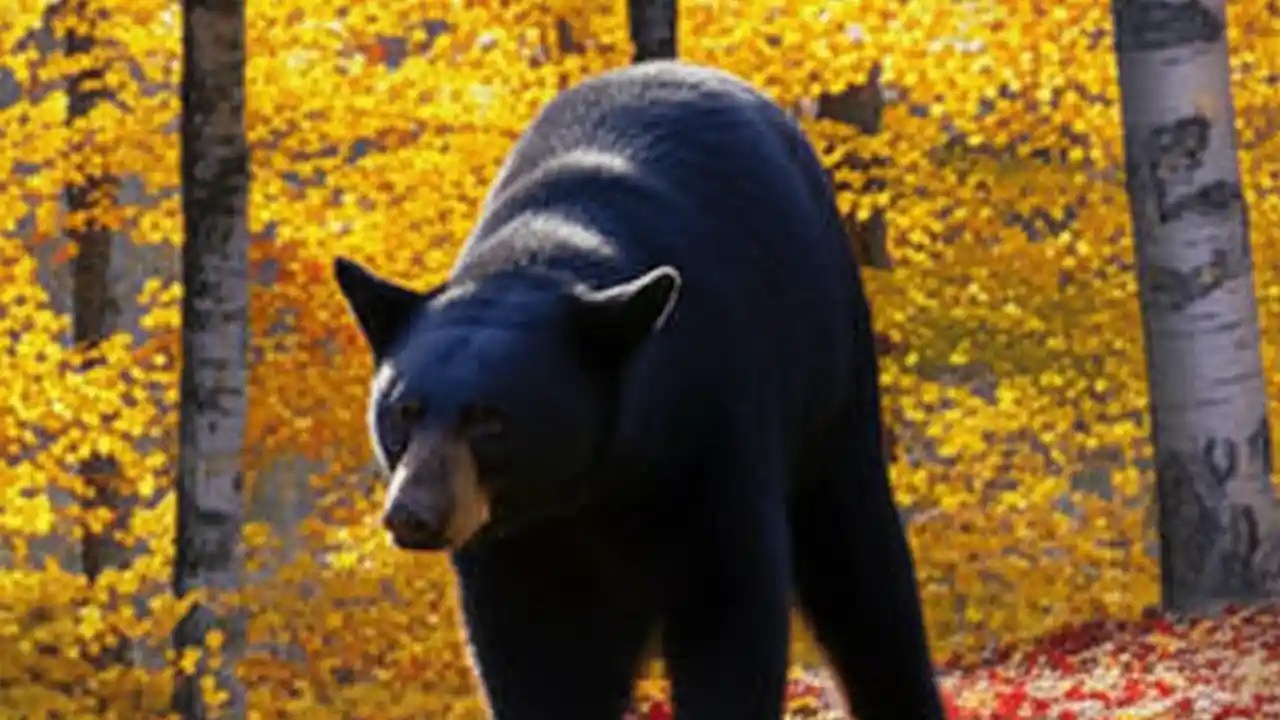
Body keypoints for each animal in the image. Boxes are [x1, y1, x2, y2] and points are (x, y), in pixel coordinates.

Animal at [334, 60, 944, 720]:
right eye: (404, 412)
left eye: (490, 419)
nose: (412, 514)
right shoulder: (511, 541)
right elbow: (532, 656)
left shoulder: (713, 429)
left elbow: (729, 608)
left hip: (832, 376)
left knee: (862, 570)